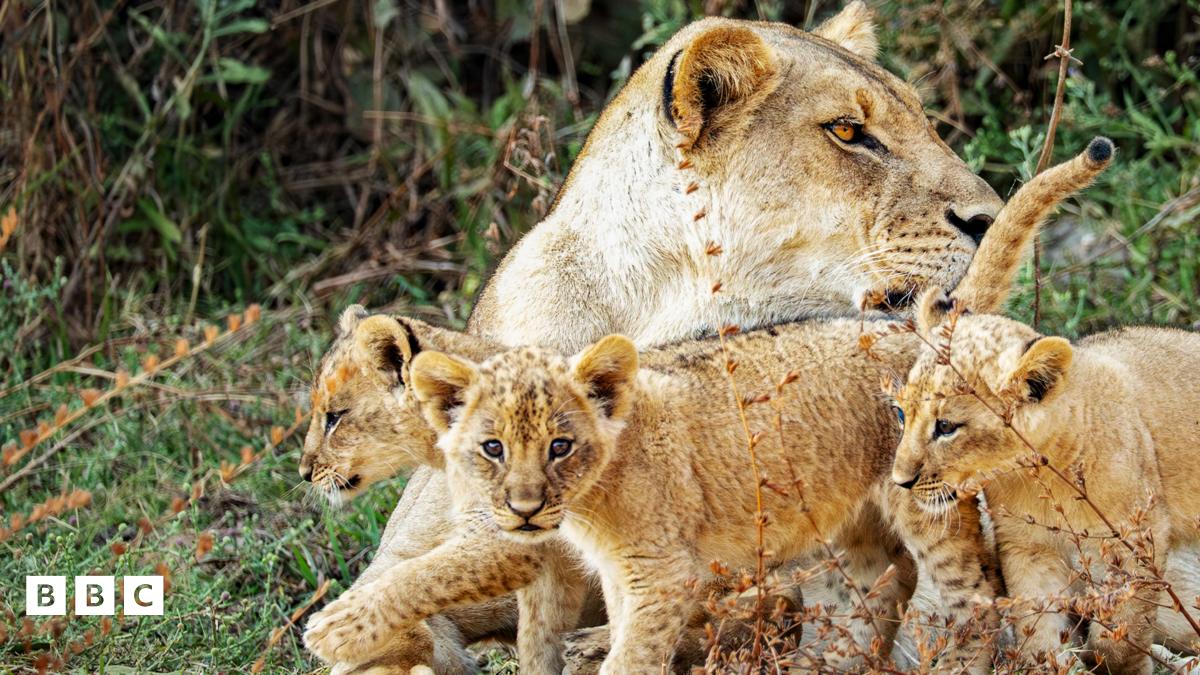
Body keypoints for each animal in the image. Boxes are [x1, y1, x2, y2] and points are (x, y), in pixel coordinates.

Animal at [891, 292, 1200, 672]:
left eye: (946, 426)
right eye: (901, 413)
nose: (900, 481)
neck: (1038, 476)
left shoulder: (1138, 537)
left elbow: (1121, 629)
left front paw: (1115, 662)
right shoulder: (1028, 546)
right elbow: (1037, 621)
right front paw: (1047, 662)